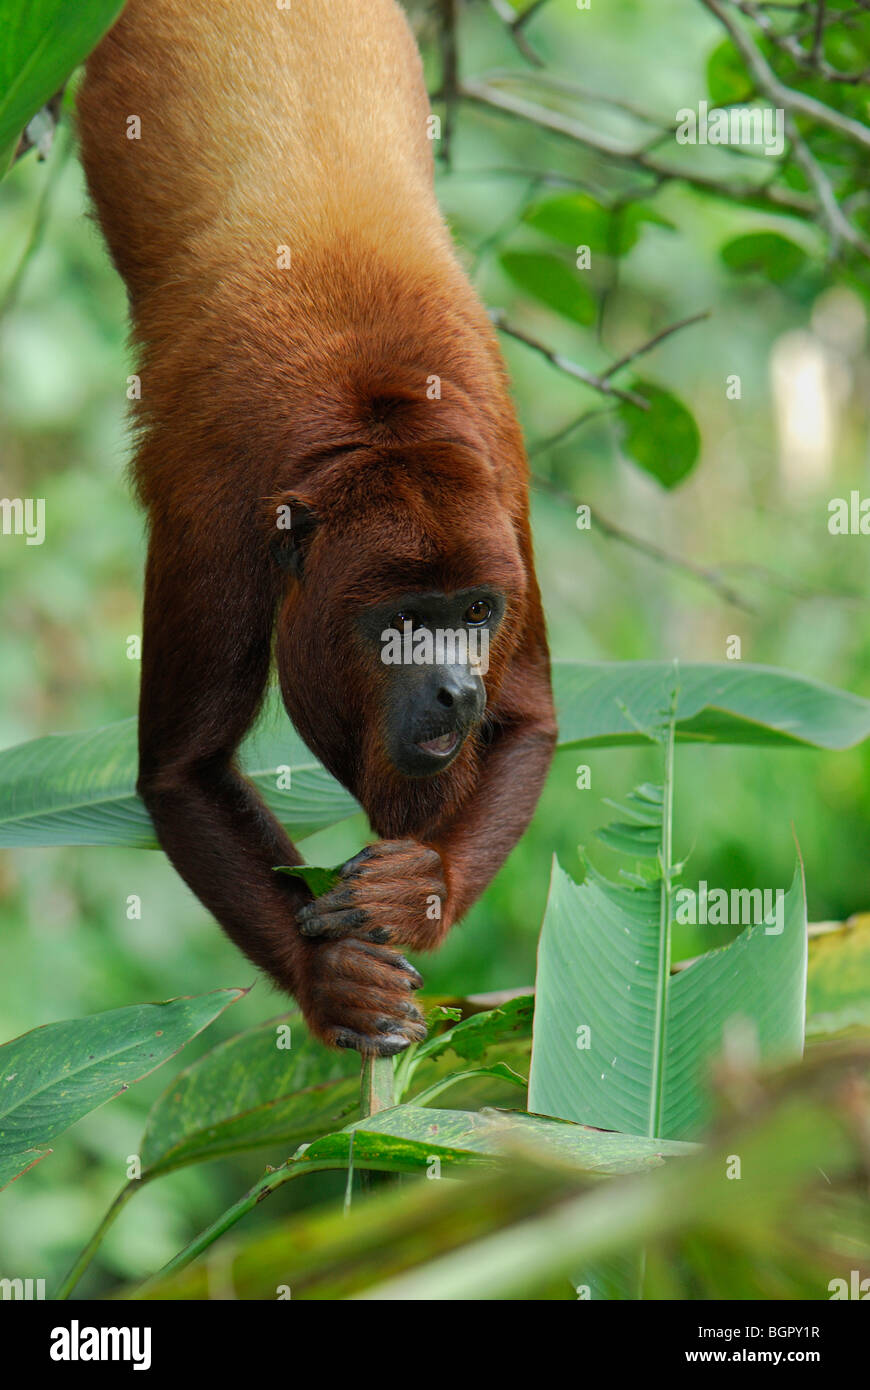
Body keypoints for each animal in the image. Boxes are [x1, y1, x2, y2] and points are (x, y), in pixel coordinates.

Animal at [76, 0, 557, 1055]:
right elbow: (182, 768)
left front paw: (422, 890)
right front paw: (328, 978)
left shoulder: (499, 478)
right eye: (400, 620)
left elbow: (533, 720)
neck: (375, 414)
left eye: (475, 610)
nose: (458, 688)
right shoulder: (215, 499)